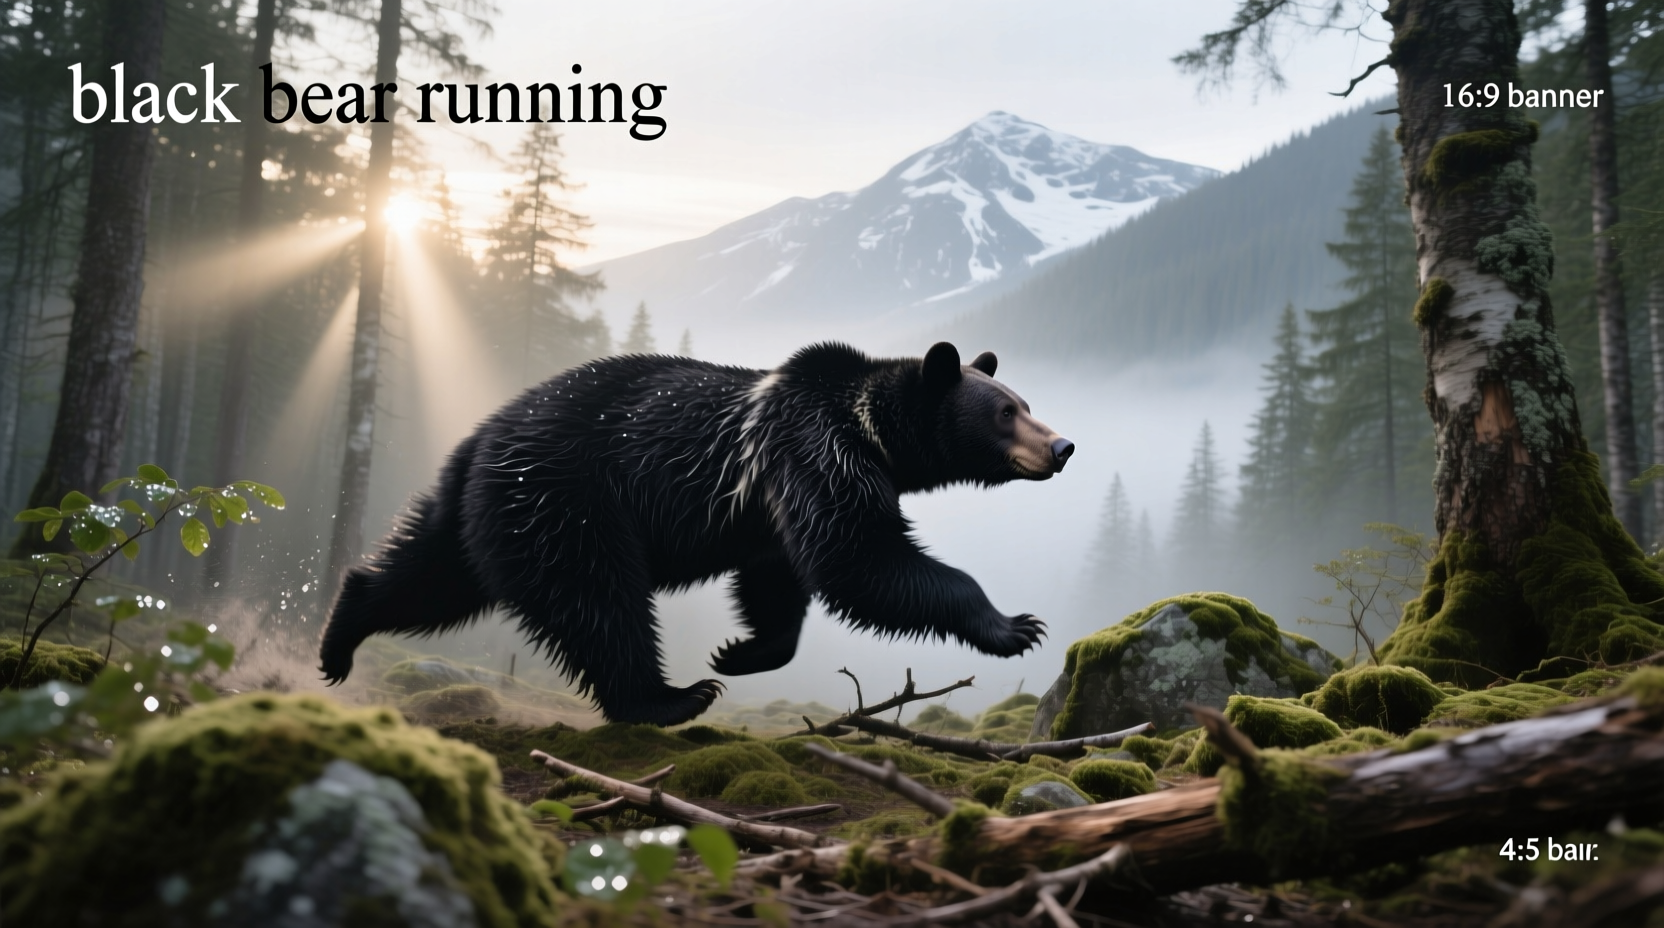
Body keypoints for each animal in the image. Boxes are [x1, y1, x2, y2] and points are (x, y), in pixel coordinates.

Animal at [318, 341, 1074, 726]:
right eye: (1005, 412)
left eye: (1026, 402)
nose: (1063, 445)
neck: (874, 432)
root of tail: (479, 440)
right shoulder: (813, 449)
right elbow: (860, 557)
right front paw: (1014, 625)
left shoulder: (775, 501)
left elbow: (781, 577)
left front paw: (740, 651)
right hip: (568, 500)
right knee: (599, 602)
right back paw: (667, 699)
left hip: (481, 511)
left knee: (430, 576)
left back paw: (340, 636)